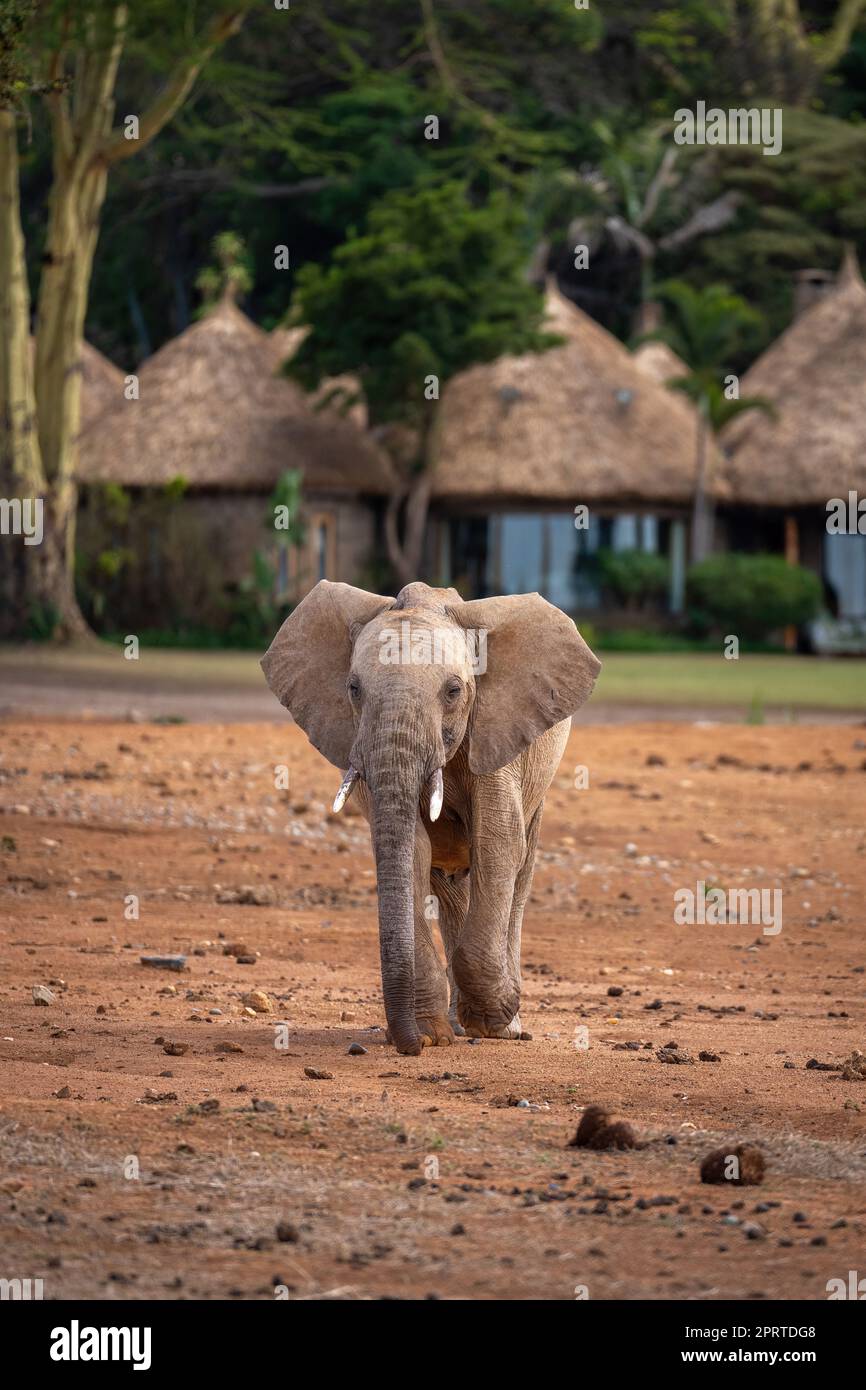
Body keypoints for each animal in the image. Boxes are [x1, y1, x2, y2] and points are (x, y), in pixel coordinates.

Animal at [261, 580, 601, 1056]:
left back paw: (503, 1025)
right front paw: (430, 1034)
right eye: (353, 688)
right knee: (450, 885)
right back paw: (459, 1024)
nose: (408, 1046)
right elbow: (414, 850)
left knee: (520, 868)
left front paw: (494, 1019)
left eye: (454, 691)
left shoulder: (496, 730)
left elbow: (497, 841)